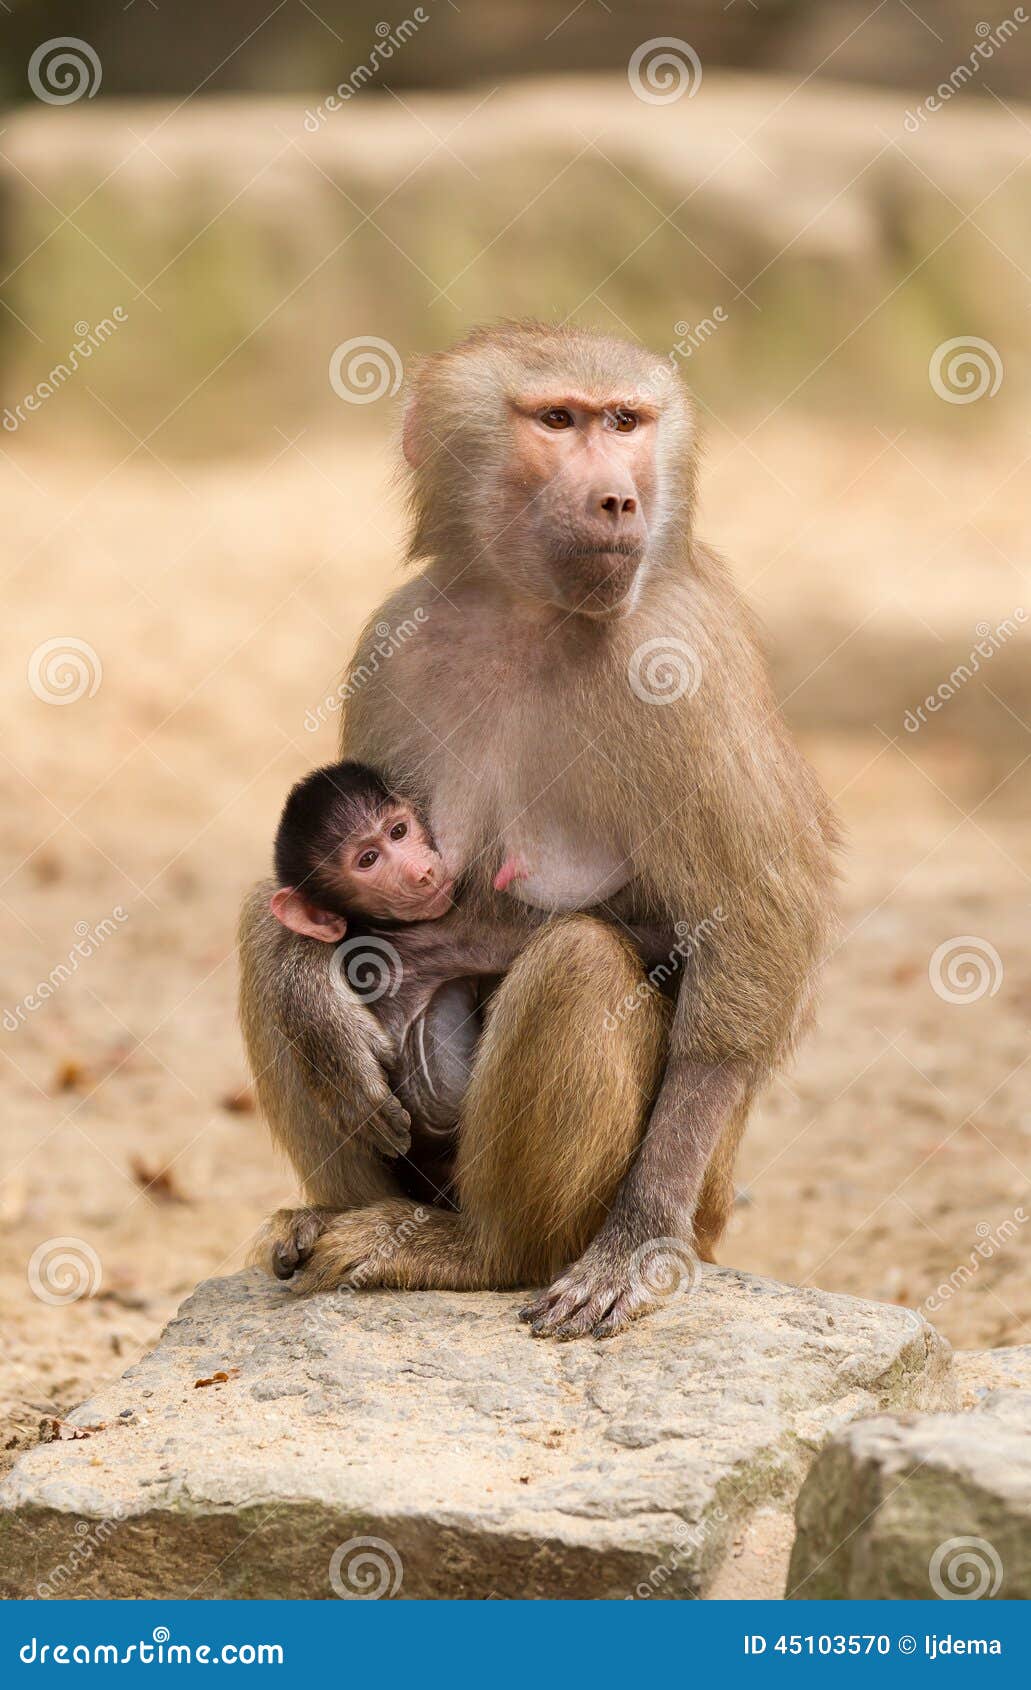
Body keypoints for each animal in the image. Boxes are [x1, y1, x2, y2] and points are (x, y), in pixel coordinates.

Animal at [240, 321, 837, 1338]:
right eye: (557, 420)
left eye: (625, 421)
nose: (617, 498)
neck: (530, 615)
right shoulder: (393, 640)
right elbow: (299, 890)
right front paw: (312, 1000)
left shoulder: (680, 659)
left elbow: (746, 924)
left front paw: (632, 1242)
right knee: (255, 918)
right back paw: (336, 1213)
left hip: (686, 1202)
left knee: (579, 961)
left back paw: (477, 1250)